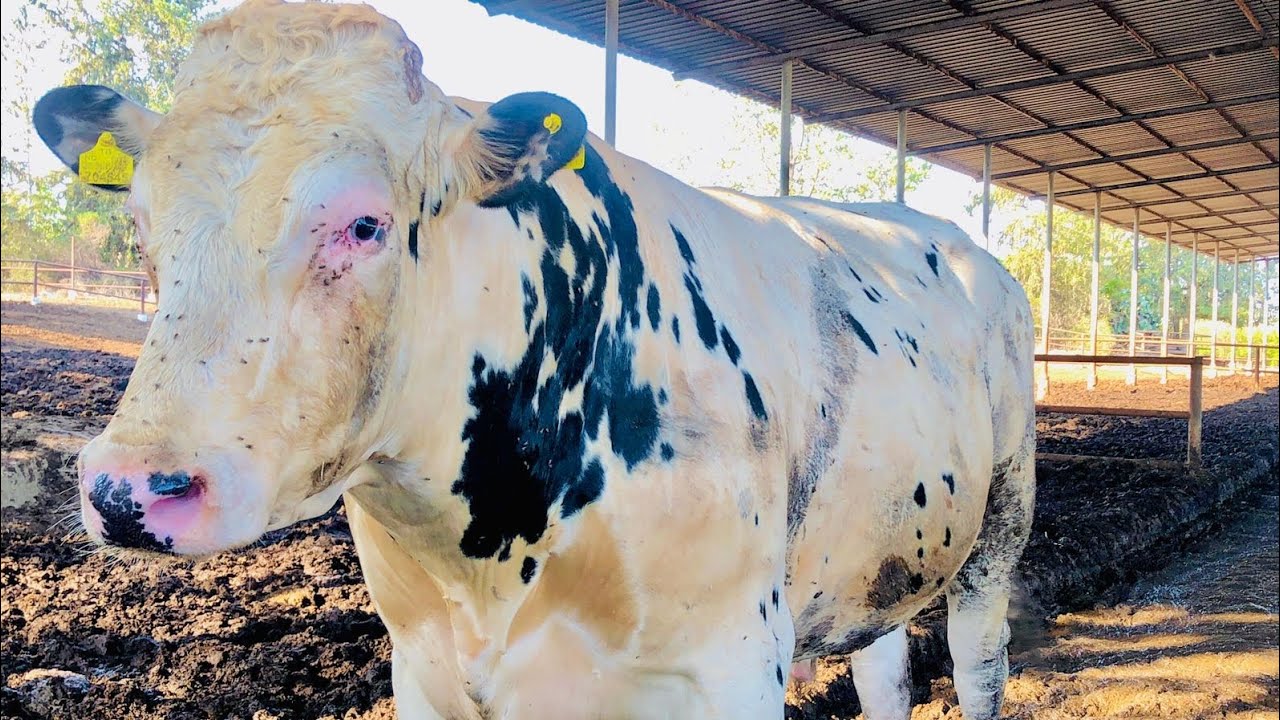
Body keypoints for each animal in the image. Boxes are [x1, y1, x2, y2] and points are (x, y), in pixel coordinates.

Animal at [32, 1, 1035, 718]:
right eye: (140, 220)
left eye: (365, 224)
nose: (130, 490)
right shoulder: (423, 672)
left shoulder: (728, 669)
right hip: (886, 546)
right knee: (885, 671)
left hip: (1001, 525)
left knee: (977, 666)